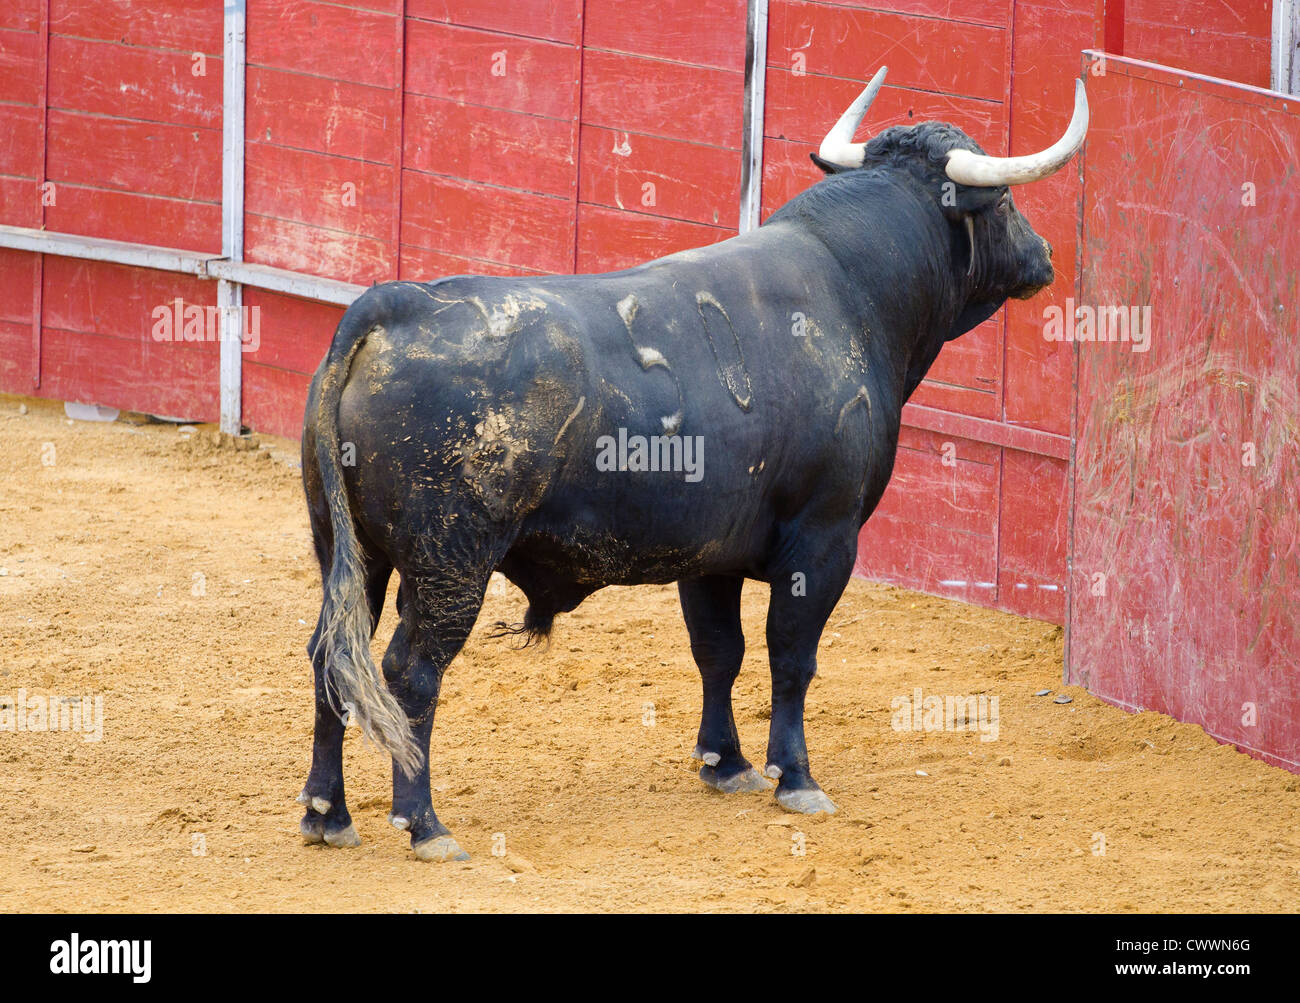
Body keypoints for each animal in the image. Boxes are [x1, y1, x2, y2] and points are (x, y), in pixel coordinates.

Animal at [297, 67, 1089, 861]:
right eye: (1006, 200)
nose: (1046, 255)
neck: (852, 290)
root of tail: (393, 307)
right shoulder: (825, 537)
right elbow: (790, 653)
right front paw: (796, 777)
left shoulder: (711, 552)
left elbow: (719, 649)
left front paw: (726, 763)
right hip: (450, 564)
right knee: (410, 673)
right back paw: (425, 823)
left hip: (351, 552)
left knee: (330, 654)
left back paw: (327, 813)